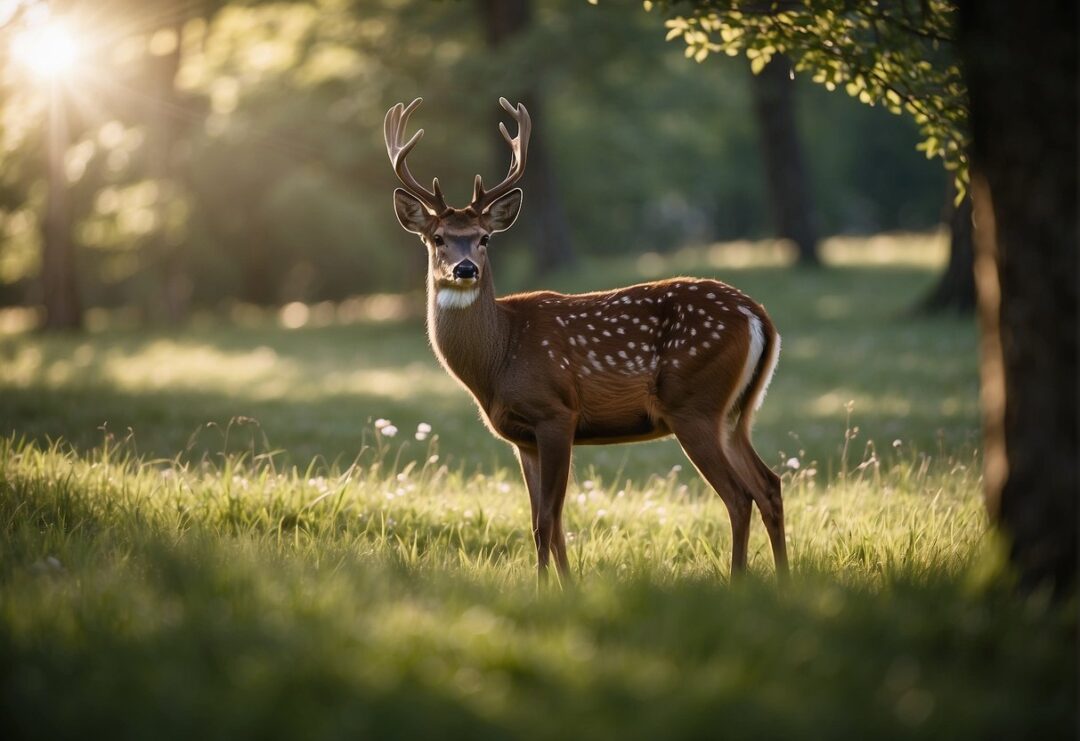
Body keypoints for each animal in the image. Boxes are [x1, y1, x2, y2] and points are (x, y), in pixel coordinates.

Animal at [384, 97, 786, 580]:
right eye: (437, 238)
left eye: (484, 238)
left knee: (739, 496)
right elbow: (545, 522)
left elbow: (547, 519)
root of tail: (759, 316)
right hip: (736, 412)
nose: (465, 269)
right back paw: (784, 578)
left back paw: (738, 581)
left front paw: (545, 587)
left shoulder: (556, 412)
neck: (498, 360)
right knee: (769, 485)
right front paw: (565, 585)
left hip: (694, 404)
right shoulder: (523, 438)